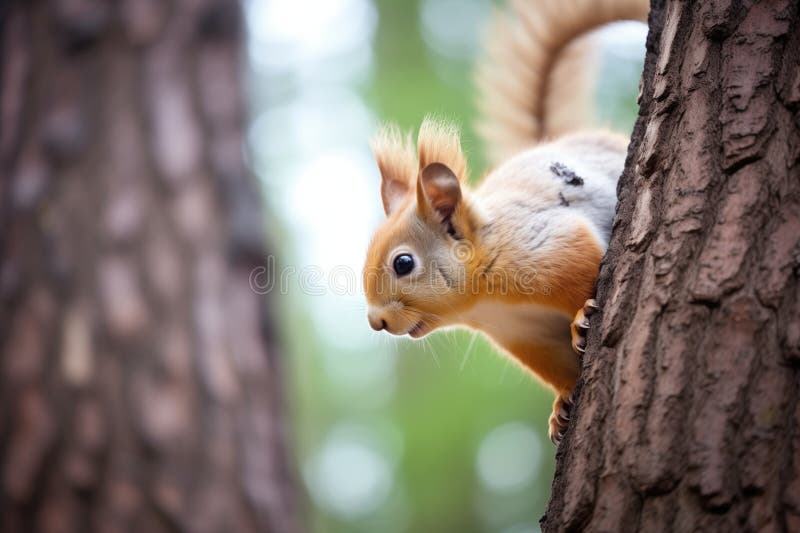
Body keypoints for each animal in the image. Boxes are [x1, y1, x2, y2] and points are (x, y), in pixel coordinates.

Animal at [362, 0, 649, 444]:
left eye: (403, 263)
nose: (376, 321)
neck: (484, 299)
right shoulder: (523, 334)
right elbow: (556, 367)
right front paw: (562, 406)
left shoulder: (552, 245)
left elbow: (584, 268)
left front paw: (582, 318)